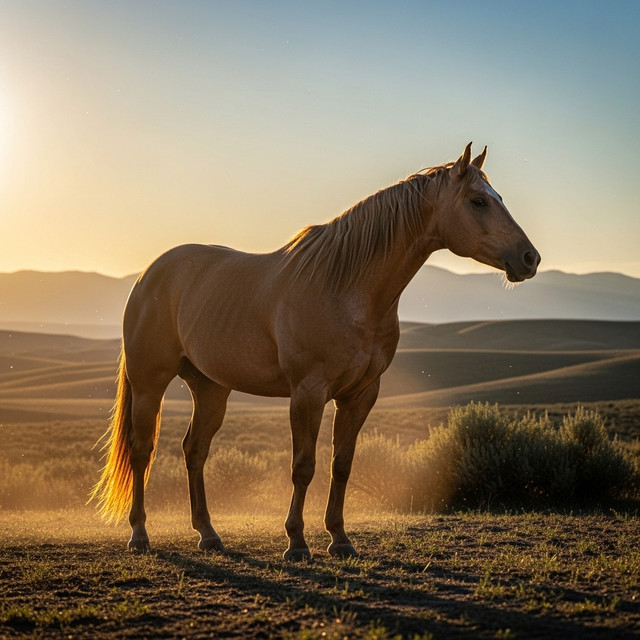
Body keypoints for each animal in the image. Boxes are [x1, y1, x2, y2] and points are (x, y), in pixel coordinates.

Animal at [90, 143, 540, 560]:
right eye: (478, 201)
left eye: (497, 197)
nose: (529, 258)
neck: (346, 289)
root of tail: (149, 275)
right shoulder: (308, 393)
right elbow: (303, 466)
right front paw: (296, 542)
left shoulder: (361, 395)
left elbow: (342, 465)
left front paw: (339, 539)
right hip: (149, 384)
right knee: (142, 451)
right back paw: (139, 535)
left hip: (211, 388)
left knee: (195, 450)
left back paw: (209, 534)